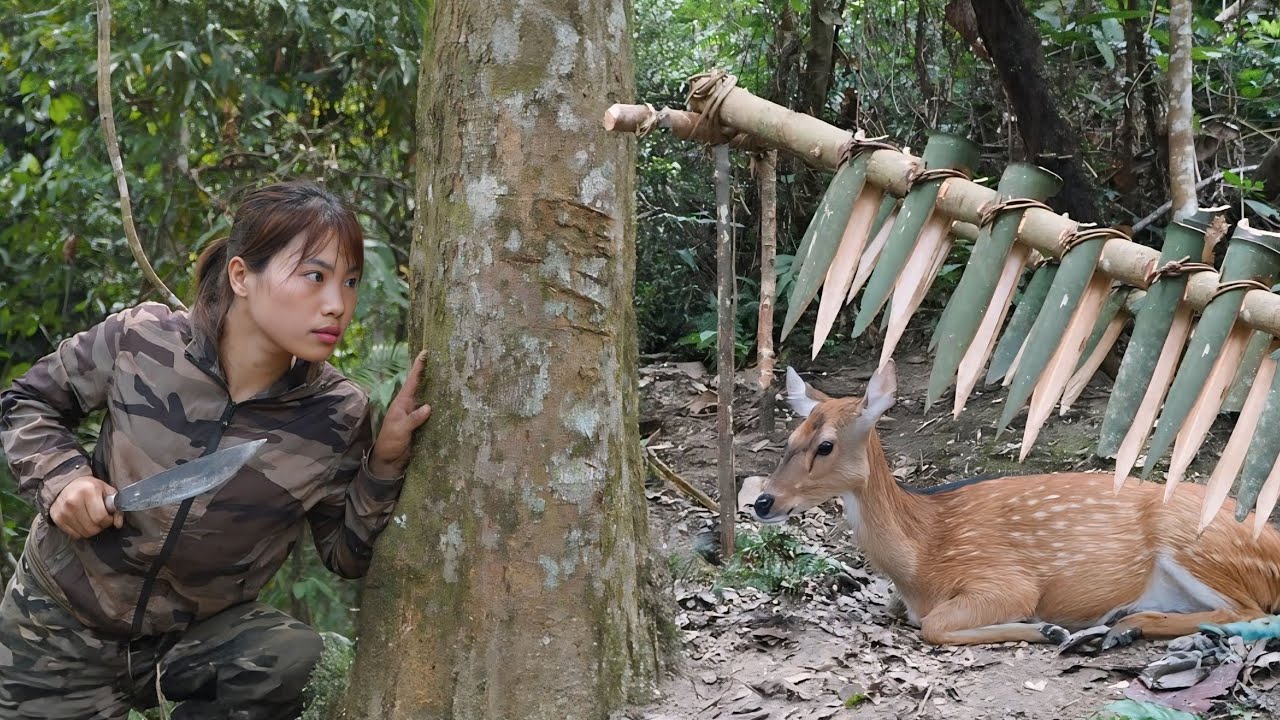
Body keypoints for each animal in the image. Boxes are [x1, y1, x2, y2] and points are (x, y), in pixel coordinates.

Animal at [746, 362, 1280, 651]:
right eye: (790, 439)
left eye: (826, 446)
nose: (762, 502)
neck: (923, 558)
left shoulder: (1005, 577)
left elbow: (934, 627)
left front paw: (1048, 628)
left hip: (1193, 540)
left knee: (1252, 612)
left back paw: (1125, 624)